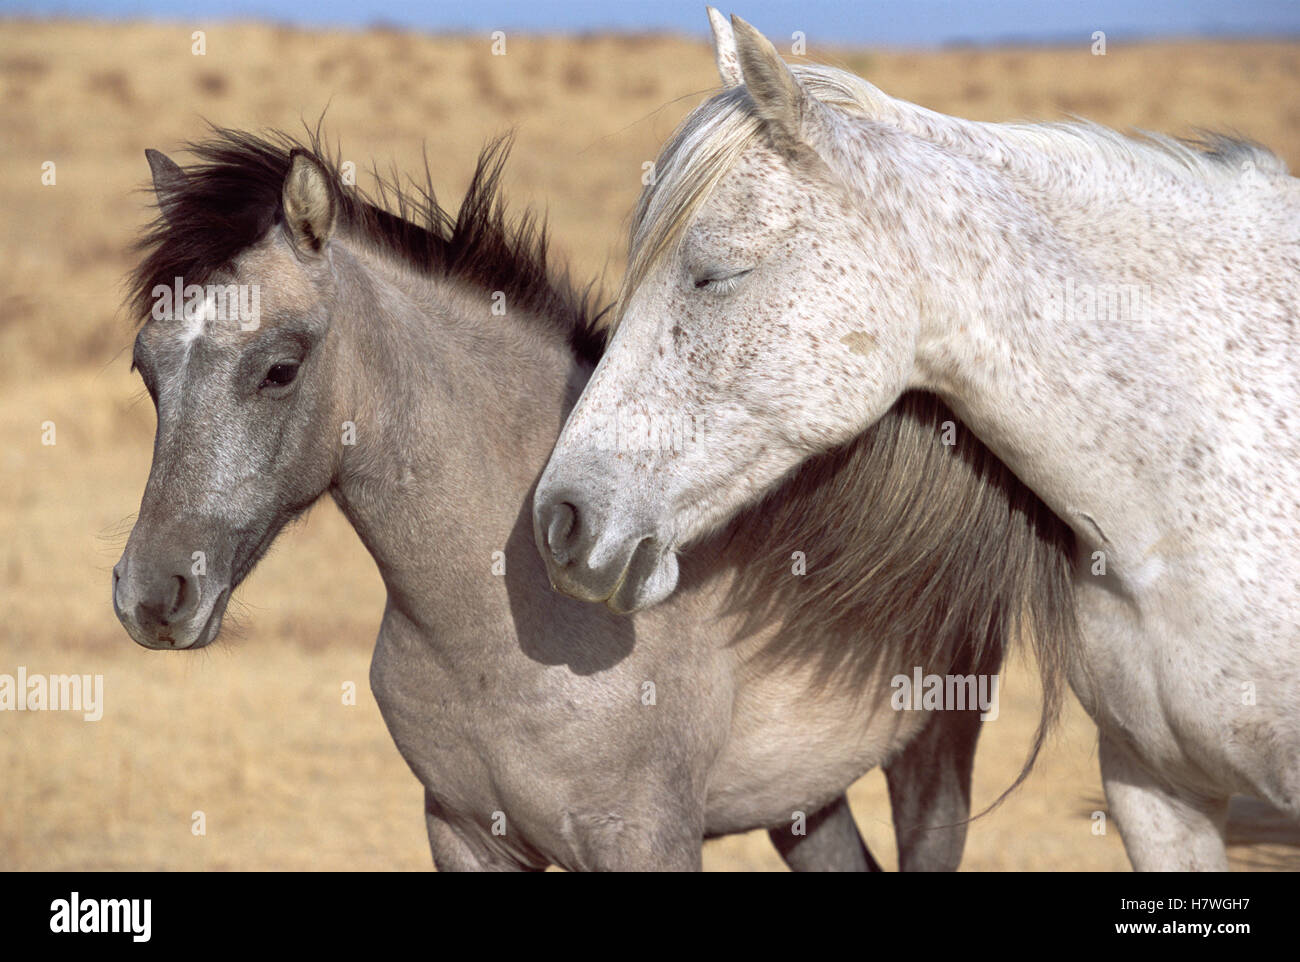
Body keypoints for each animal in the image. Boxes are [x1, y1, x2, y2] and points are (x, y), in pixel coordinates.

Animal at [112, 124, 1072, 870]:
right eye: (145, 364)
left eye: (279, 367)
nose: (153, 597)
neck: (502, 621)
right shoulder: (463, 835)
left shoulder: (644, 841)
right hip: (806, 800)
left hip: (934, 759)